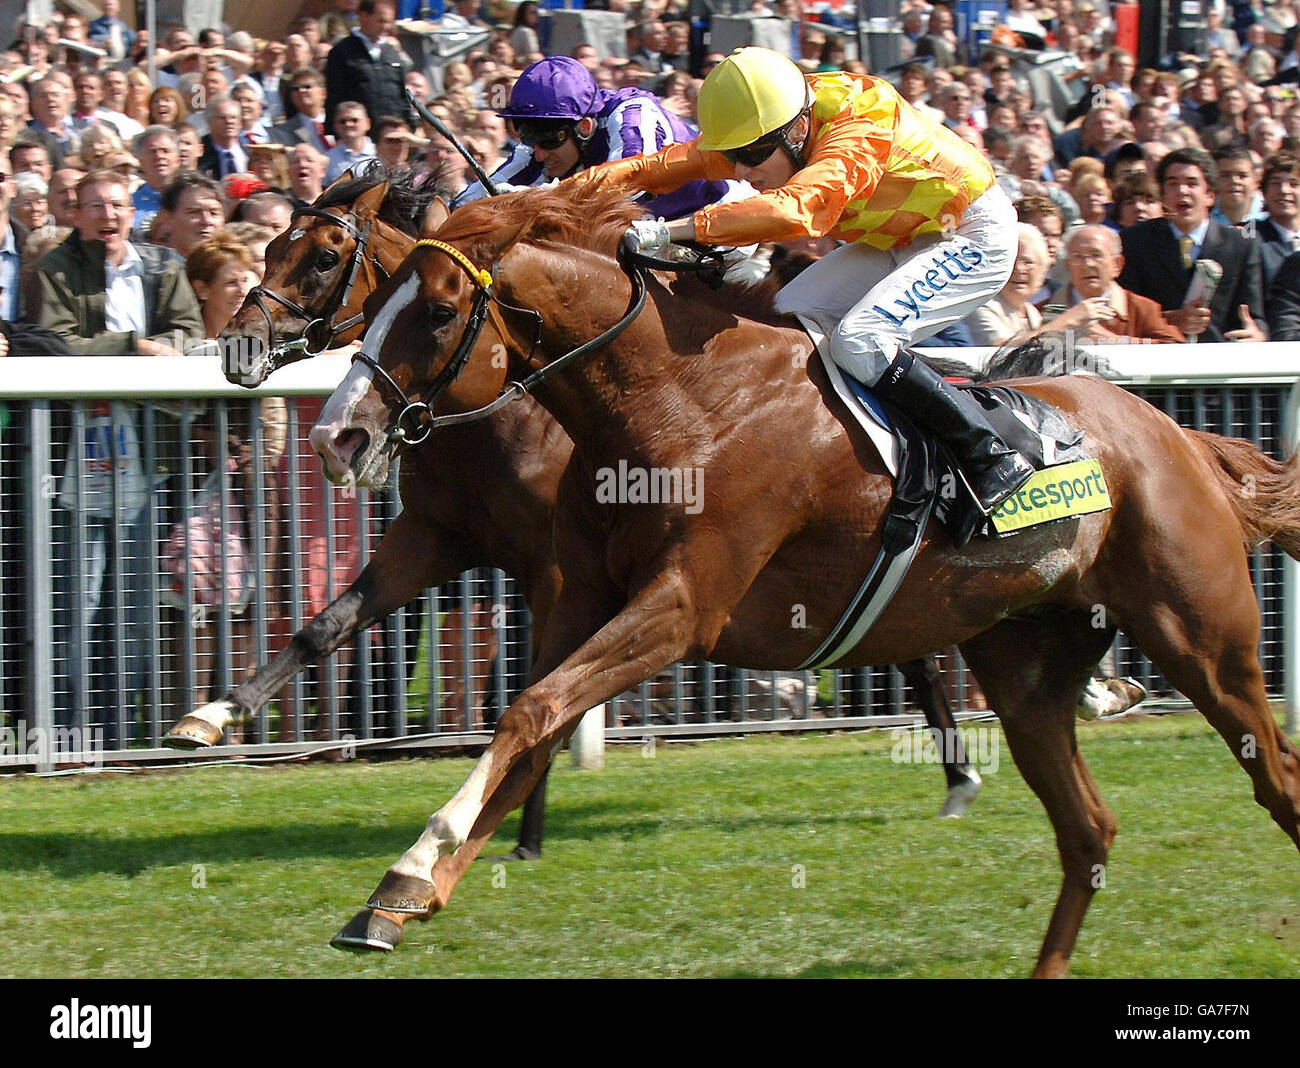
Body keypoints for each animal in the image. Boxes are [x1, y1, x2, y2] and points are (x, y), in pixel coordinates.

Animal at [309, 184, 1300, 976]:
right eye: (376, 299)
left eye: (439, 314)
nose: (336, 436)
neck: (677, 400)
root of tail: (1180, 439)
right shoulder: (579, 599)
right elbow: (530, 727)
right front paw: (398, 896)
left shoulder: (682, 608)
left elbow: (532, 713)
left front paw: (416, 865)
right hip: (1026, 673)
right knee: (1087, 829)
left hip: (1205, 641)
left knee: (1275, 779)